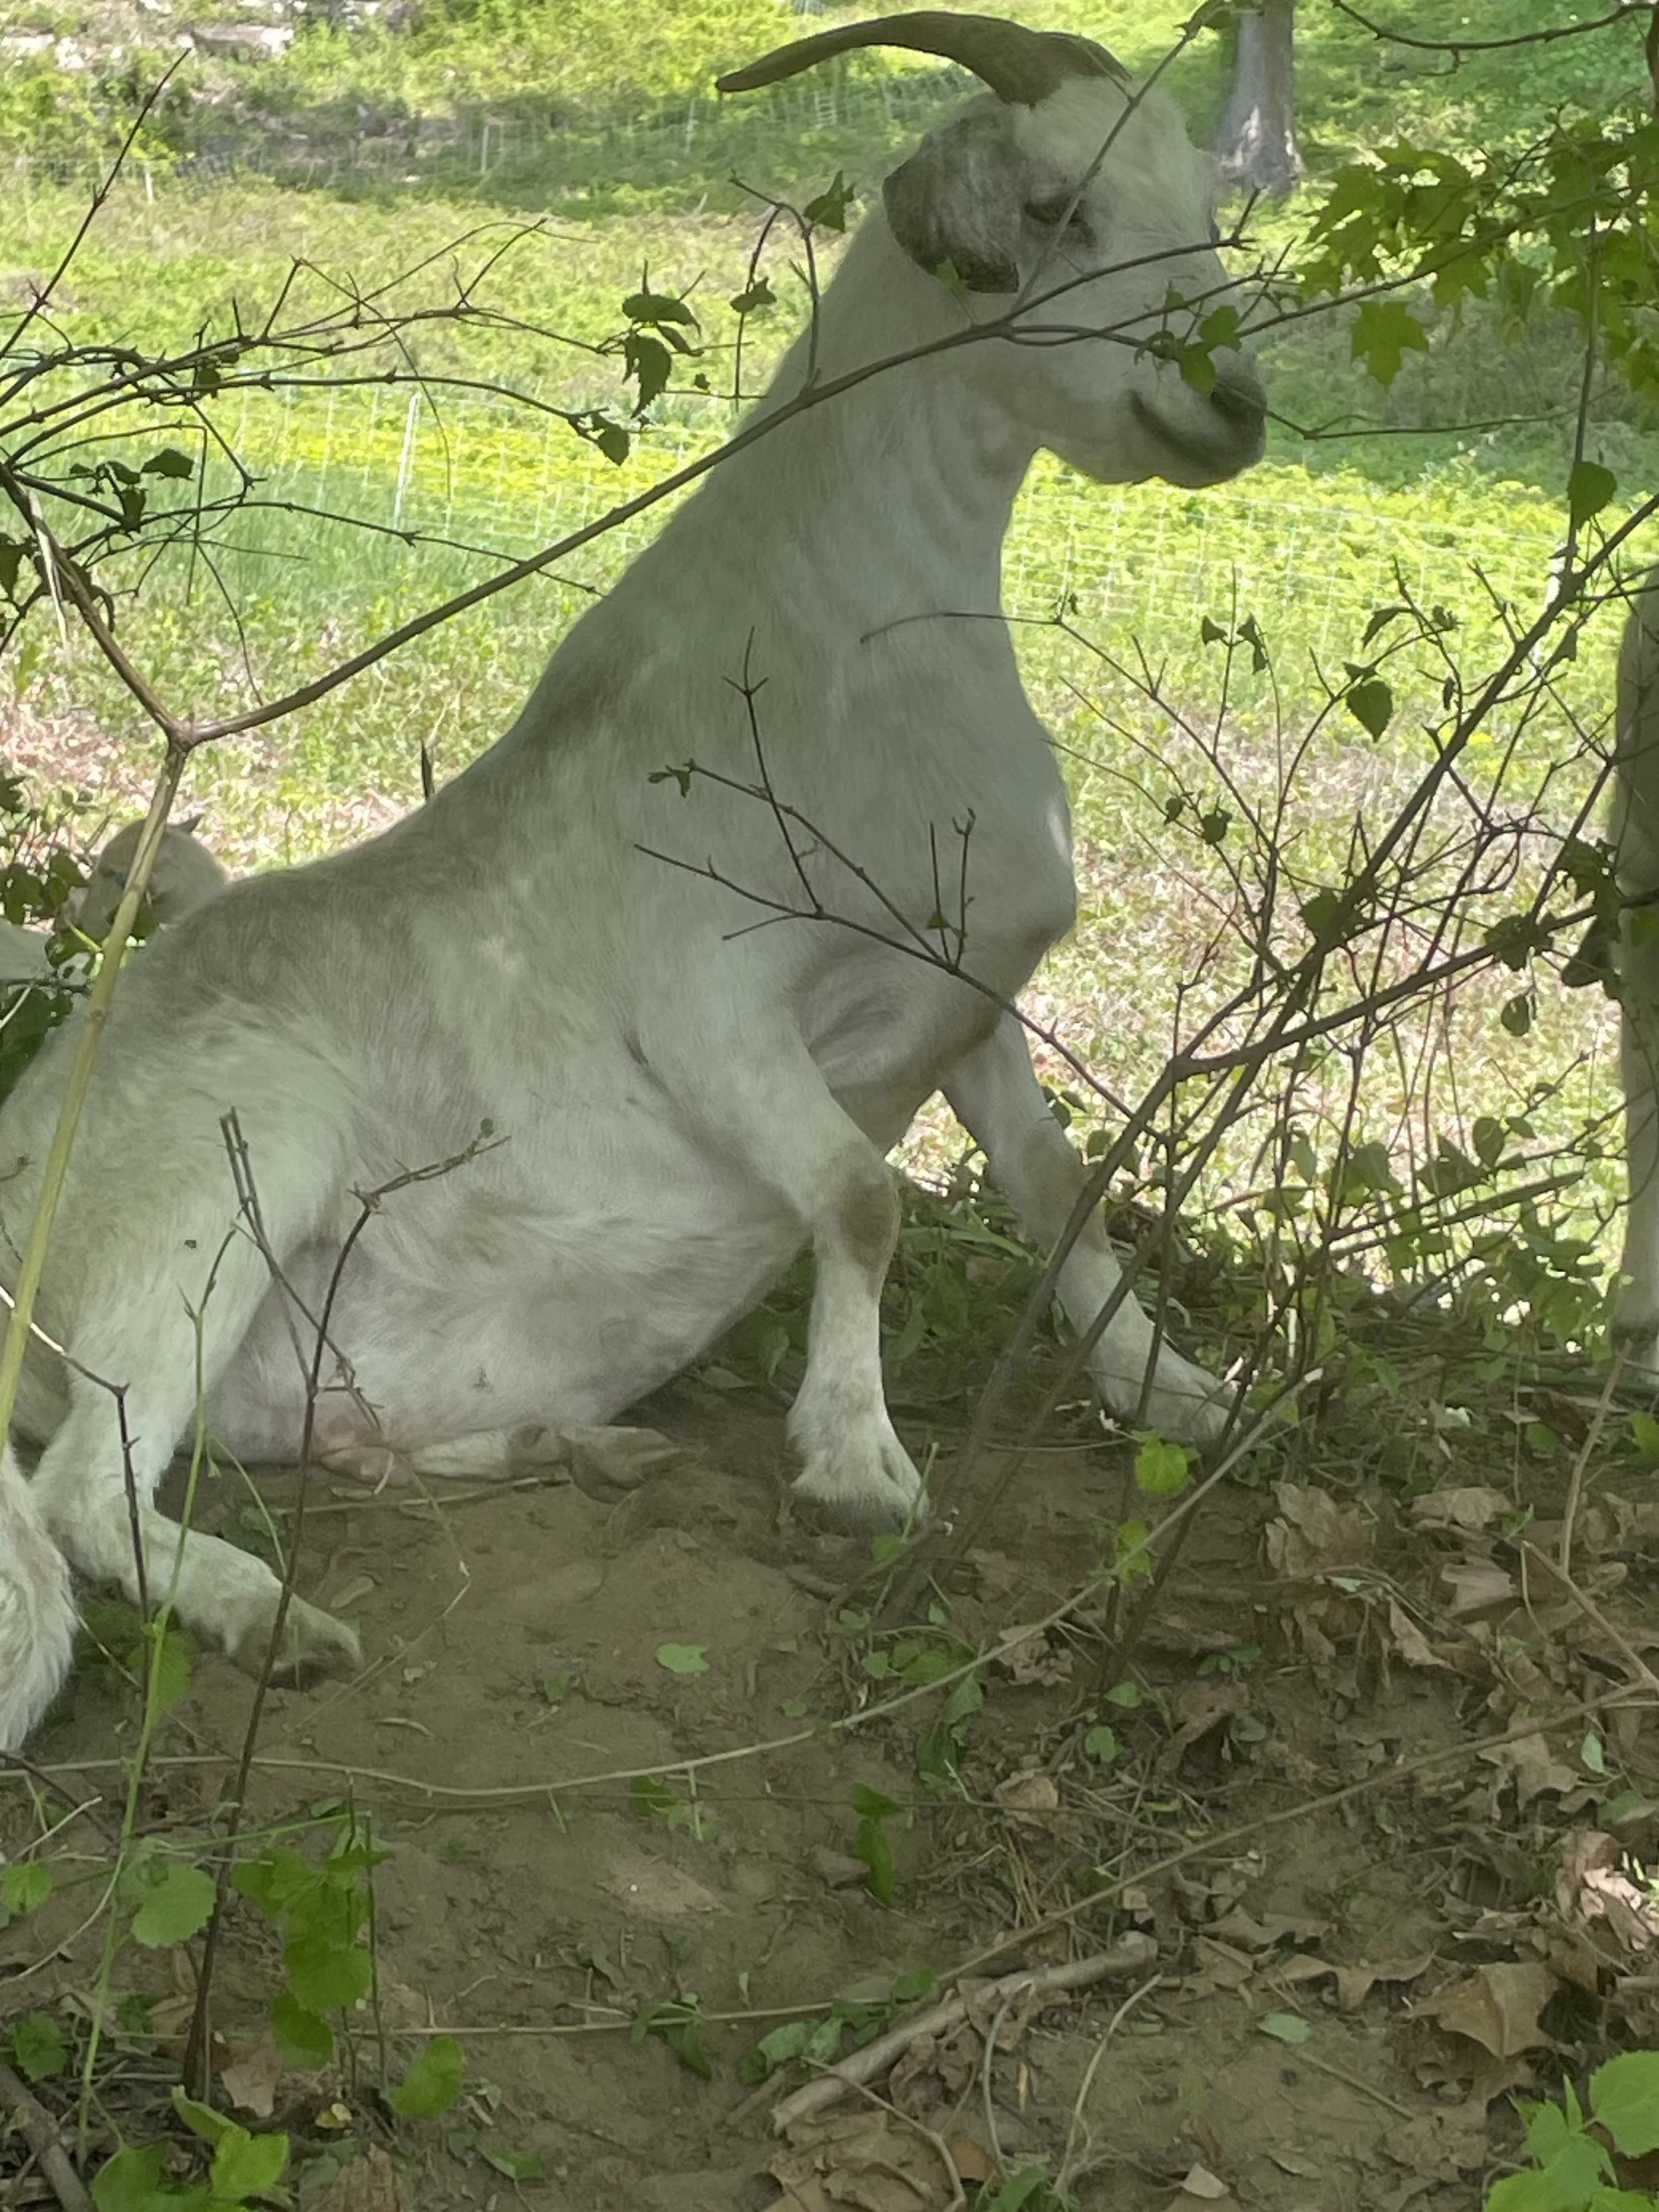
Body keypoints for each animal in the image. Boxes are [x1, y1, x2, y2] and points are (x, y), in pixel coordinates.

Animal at [0, 10, 1266, 1749]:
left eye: (1205, 209)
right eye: (1058, 209)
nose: (1235, 408)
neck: (848, 641)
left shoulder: (968, 989)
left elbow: (1058, 1183)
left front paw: (1176, 1391)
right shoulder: (706, 990)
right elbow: (859, 1196)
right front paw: (858, 1462)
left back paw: (571, 1443)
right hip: (217, 1182)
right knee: (84, 1493)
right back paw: (278, 1619)